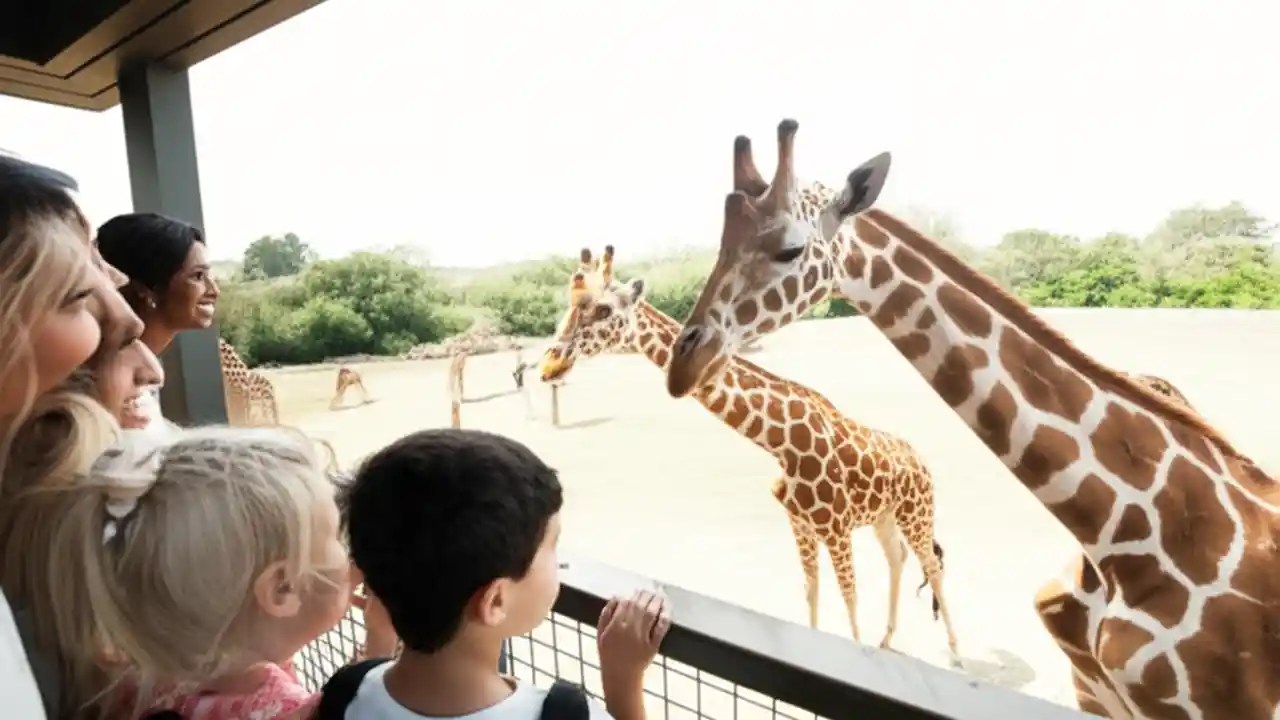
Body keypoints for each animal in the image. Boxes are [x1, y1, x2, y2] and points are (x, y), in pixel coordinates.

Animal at [539, 246, 961, 655]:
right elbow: (812, 592)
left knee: (931, 564)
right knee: (898, 558)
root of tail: (921, 461)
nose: (550, 365)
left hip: (916, 513)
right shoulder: (800, 524)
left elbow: (849, 598)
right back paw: (887, 638)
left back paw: (955, 651)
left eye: (603, 310)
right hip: (884, 517)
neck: (781, 444)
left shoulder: (836, 527)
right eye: (570, 305)